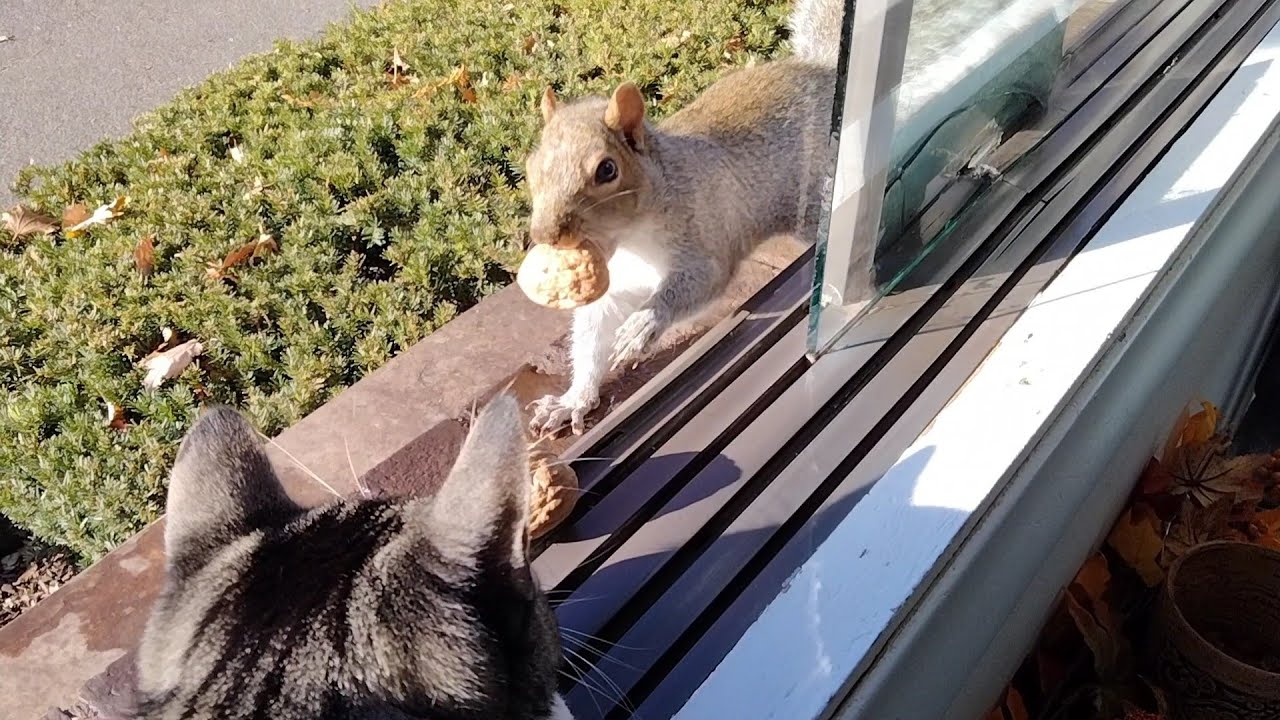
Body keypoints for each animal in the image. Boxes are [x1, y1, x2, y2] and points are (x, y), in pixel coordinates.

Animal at [526, 0, 848, 435]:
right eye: (531, 166)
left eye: (607, 170)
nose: (544, 232)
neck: (631, 241)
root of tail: (825, 72)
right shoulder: (616, 286)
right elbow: (593, 335)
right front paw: (572, 401)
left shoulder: (705, 238)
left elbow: (699, 282)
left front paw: (645, 324)